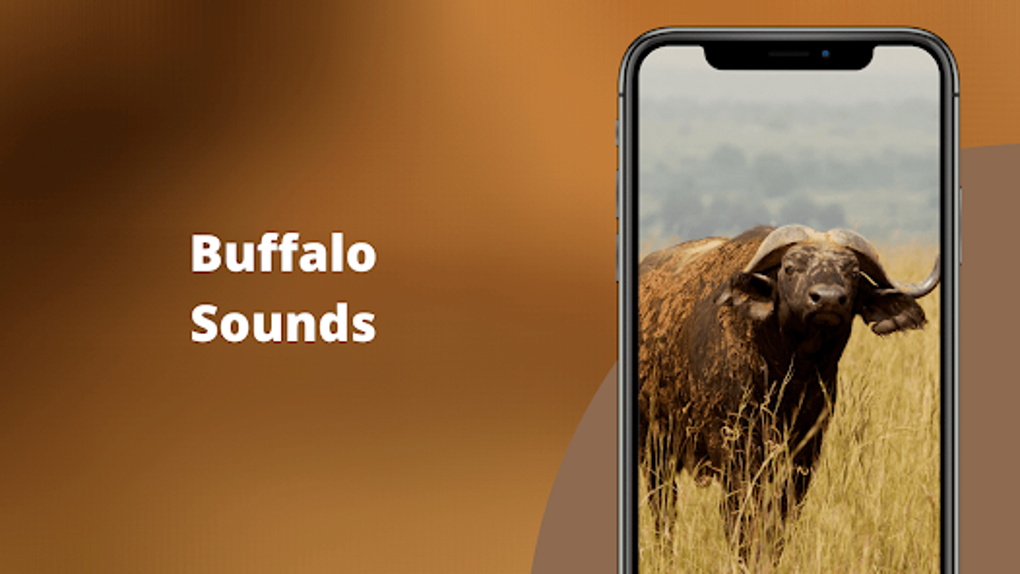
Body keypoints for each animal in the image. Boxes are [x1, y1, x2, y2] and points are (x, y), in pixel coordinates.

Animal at [638, 224, 940, 560]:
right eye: (790, 268)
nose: (828, 300)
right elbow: (741, 517)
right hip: (655, 450)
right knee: (664, 510)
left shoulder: (805, 452)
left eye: (853, 272)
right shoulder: (733, 448)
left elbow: (781, 517)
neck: (789, 374)